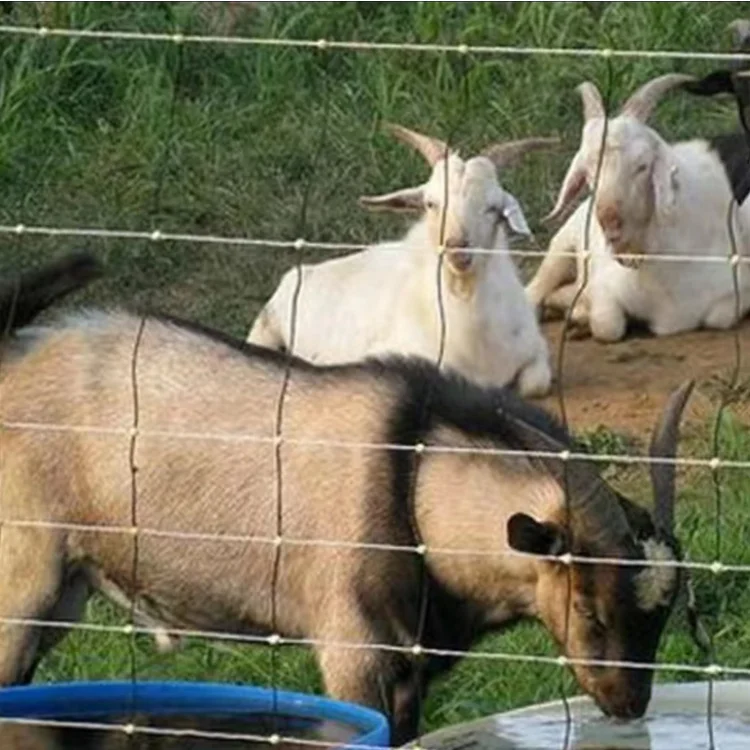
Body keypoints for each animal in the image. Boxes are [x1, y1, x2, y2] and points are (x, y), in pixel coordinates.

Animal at [0, 255, 693, 744]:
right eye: (589, 609)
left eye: (664, 617)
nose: (628, 704)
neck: (411, 477)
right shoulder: (354, 656)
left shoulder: (413, 675)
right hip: (22, 580)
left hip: (66, 589)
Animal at [247, 124, 557, 398]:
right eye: (431, 203)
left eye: (493, 208)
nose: (457, 247)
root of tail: (300, 272)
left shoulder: (535, 348)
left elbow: (536, 384)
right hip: (266, 326)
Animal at [526, 73, 750, 342]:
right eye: (588, 171)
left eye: (643, 166)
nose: (610, 224)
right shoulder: (604, 286)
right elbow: (607, 326)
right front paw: (579, 315)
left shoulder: (733, 291)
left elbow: (718, 317)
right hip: (563, 244)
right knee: (535, 290)